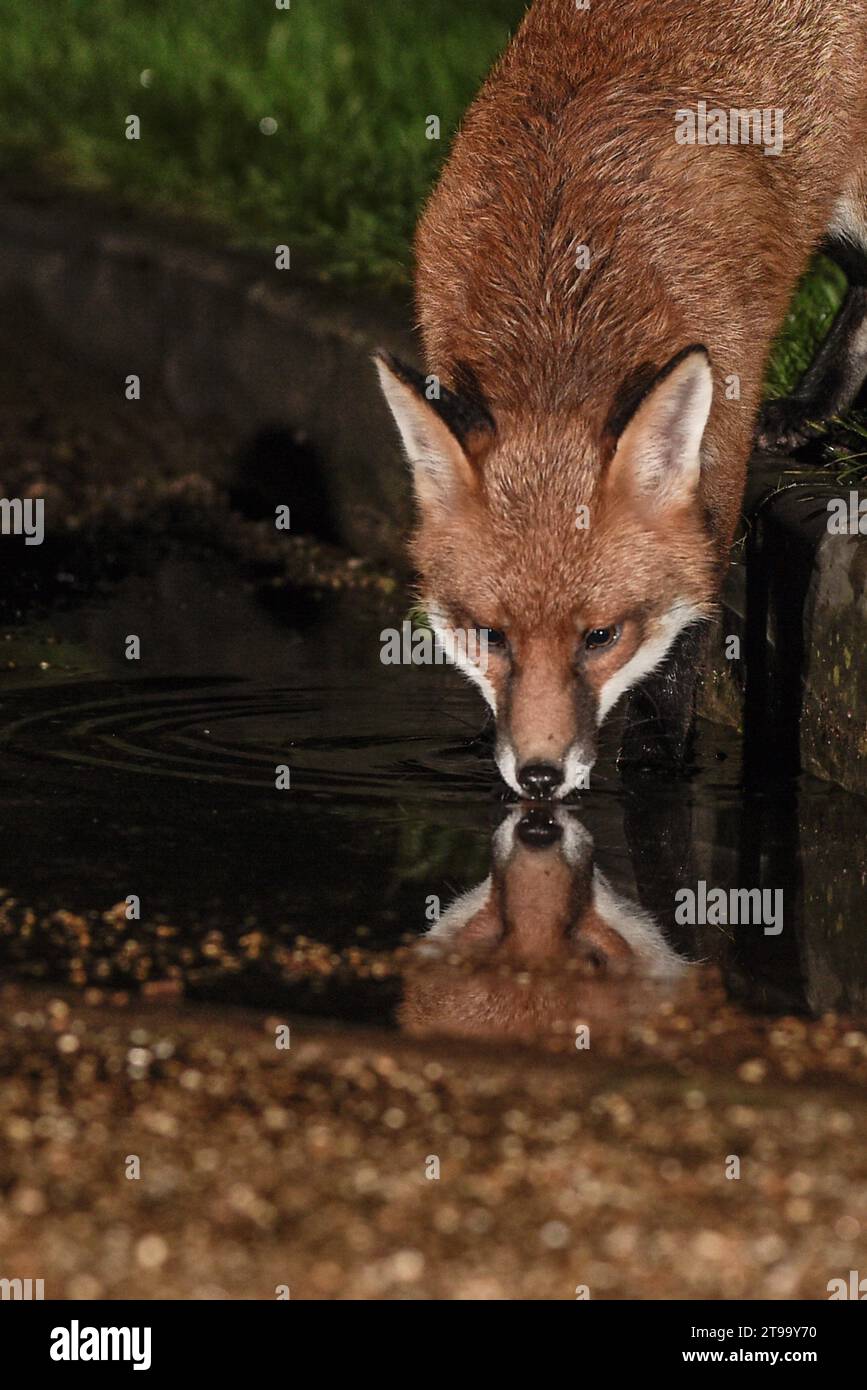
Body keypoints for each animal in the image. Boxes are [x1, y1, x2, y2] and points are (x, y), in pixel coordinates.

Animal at [375, 0, 867, 799]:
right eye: (492, 635)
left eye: (601, 636)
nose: (540, 778)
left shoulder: (717, 442)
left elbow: (682, 639)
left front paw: (656, 769)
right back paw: (809, 409)